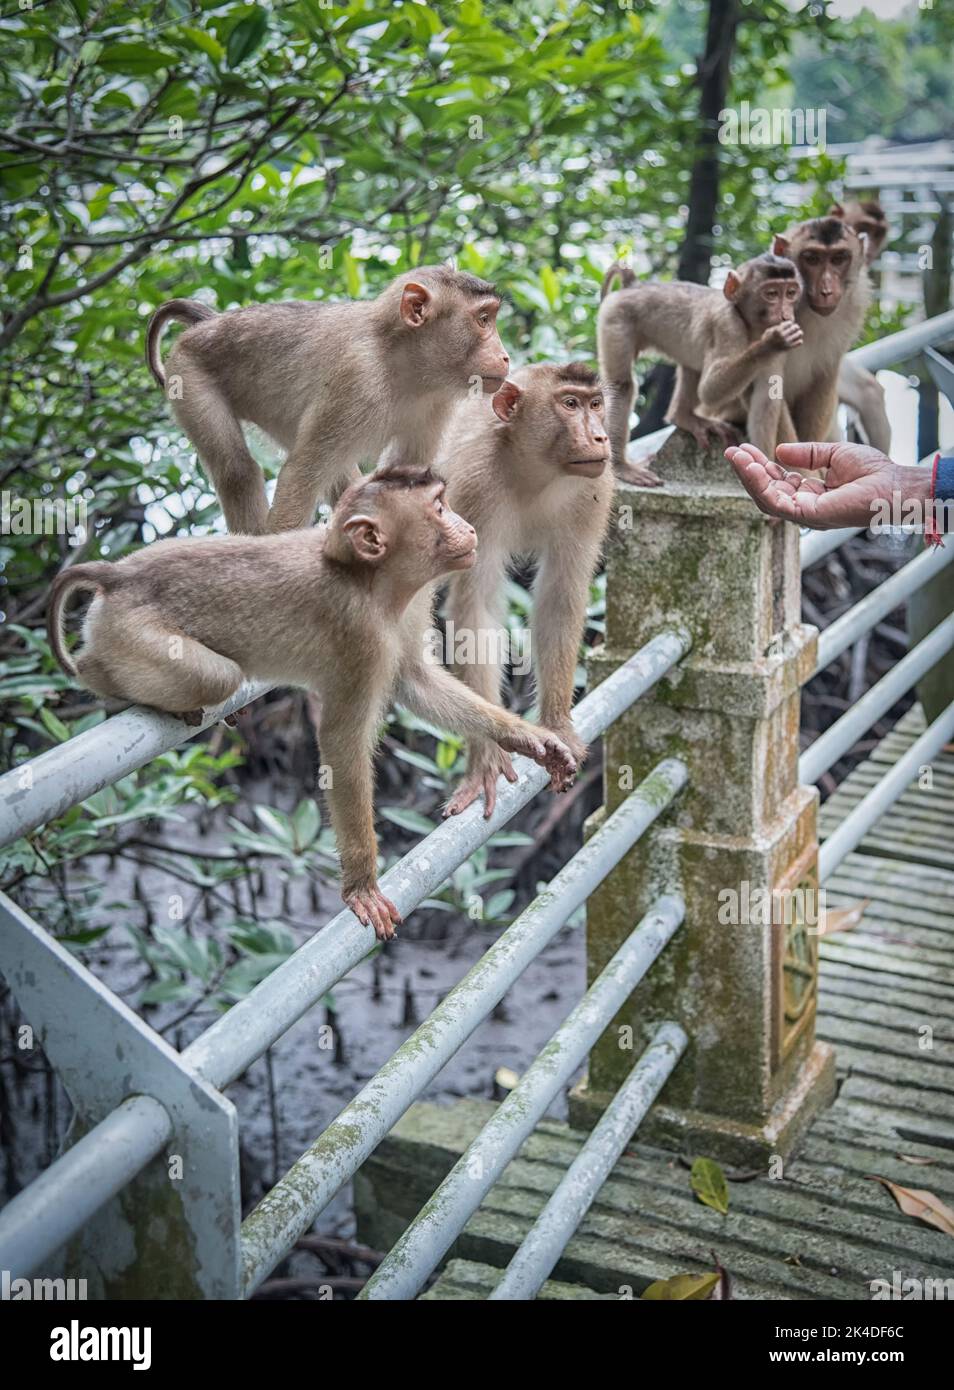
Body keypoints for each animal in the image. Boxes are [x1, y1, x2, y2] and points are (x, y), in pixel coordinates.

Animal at [47, 465, 575, 941]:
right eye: (440, 508)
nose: (468, 526)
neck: (370, 581)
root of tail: (119, 574)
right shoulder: (361, 637)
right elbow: (341, 741)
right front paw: (361, 886)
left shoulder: (403, 614)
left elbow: (417, 682)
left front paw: (532, 738)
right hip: (129, 631)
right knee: (213, 675)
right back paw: (99, 676)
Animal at [146, 266, 510, 536]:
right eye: (484, 320)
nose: (505, 356)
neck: (399, 356)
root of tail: (210, 325)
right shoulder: (357, 379)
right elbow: (300, 477)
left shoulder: (438, 400)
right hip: (187, 372)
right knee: (237, 470)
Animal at [435, 362, 613, 817]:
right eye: (569, 404)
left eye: (595, 404)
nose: (601, 437)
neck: (536, 470)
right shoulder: (476, 485)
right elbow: (477, 607)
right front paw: (487, 755)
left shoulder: (596, 489)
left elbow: (560, 596)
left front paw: (556, 725)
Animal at [597, 253, 805, 484]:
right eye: (771, 294)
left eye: (791, 293)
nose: (785, 314)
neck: (750, 325)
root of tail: (634, 285)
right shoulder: (727, 324)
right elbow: (710, 391)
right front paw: (772, 342)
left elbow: (765, 399)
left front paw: (766, 467)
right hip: (616, 316)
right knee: (621, 385)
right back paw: (621, 466)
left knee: (691, 368)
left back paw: (682, 417)